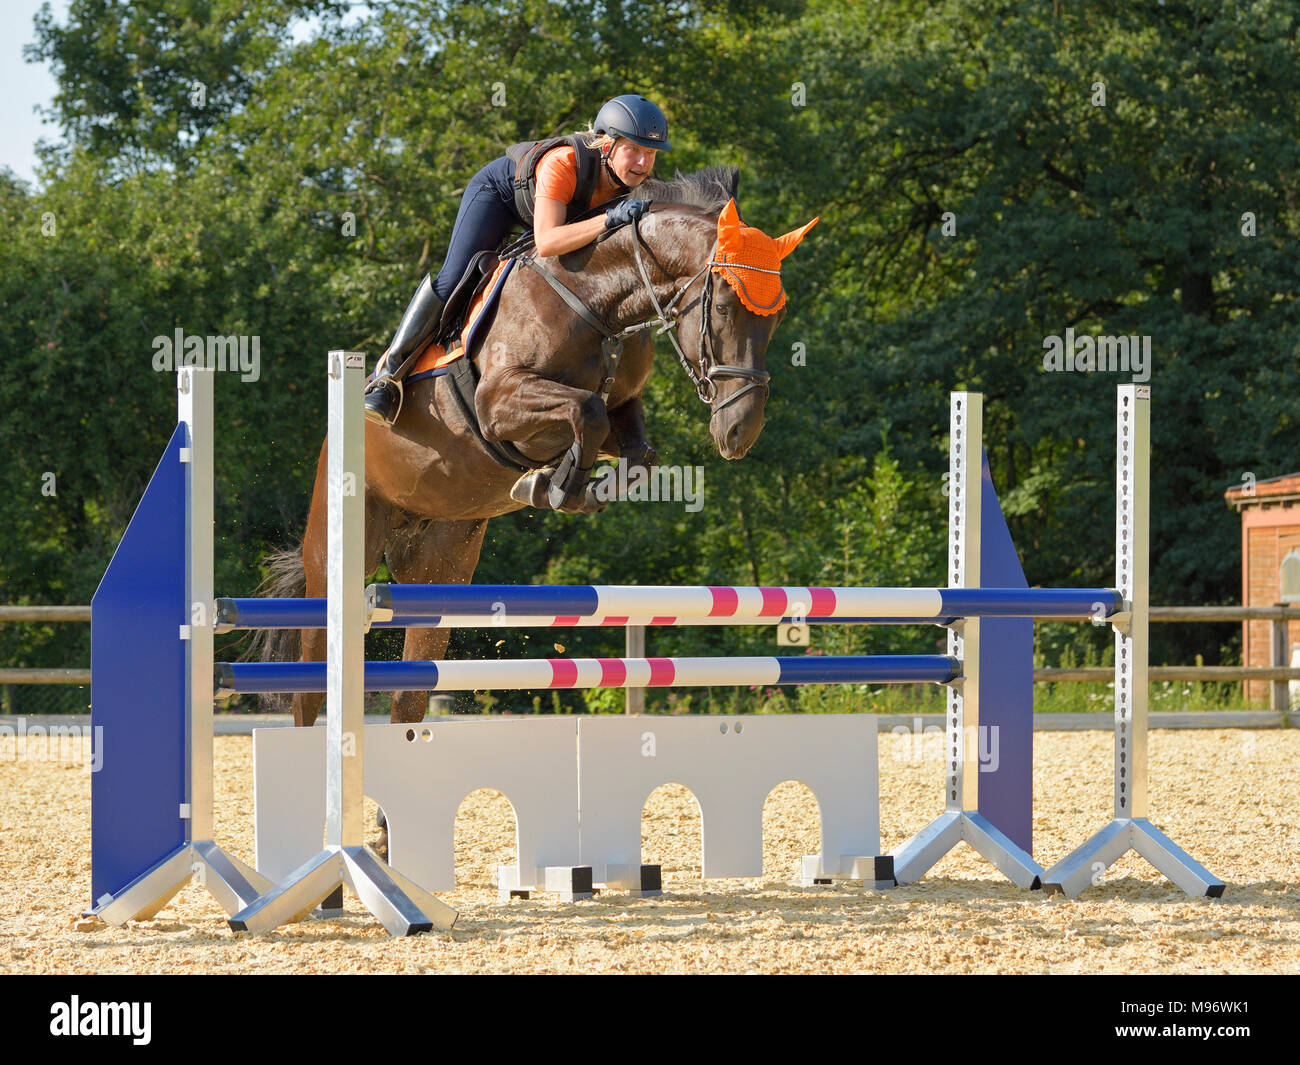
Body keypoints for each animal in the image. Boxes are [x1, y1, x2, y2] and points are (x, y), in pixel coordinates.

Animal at [255, 165, 818, 726]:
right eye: (722, 306)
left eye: (778, 317)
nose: (740, 431)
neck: (598, 301)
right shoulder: (498, 402)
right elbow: (585, 412)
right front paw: (554, 485)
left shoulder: (622, 408)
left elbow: (636, 452)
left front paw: (562, 484)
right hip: (338, 549)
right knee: (309, 684)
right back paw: (381, 390)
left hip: (439, 563)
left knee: (411, 690)